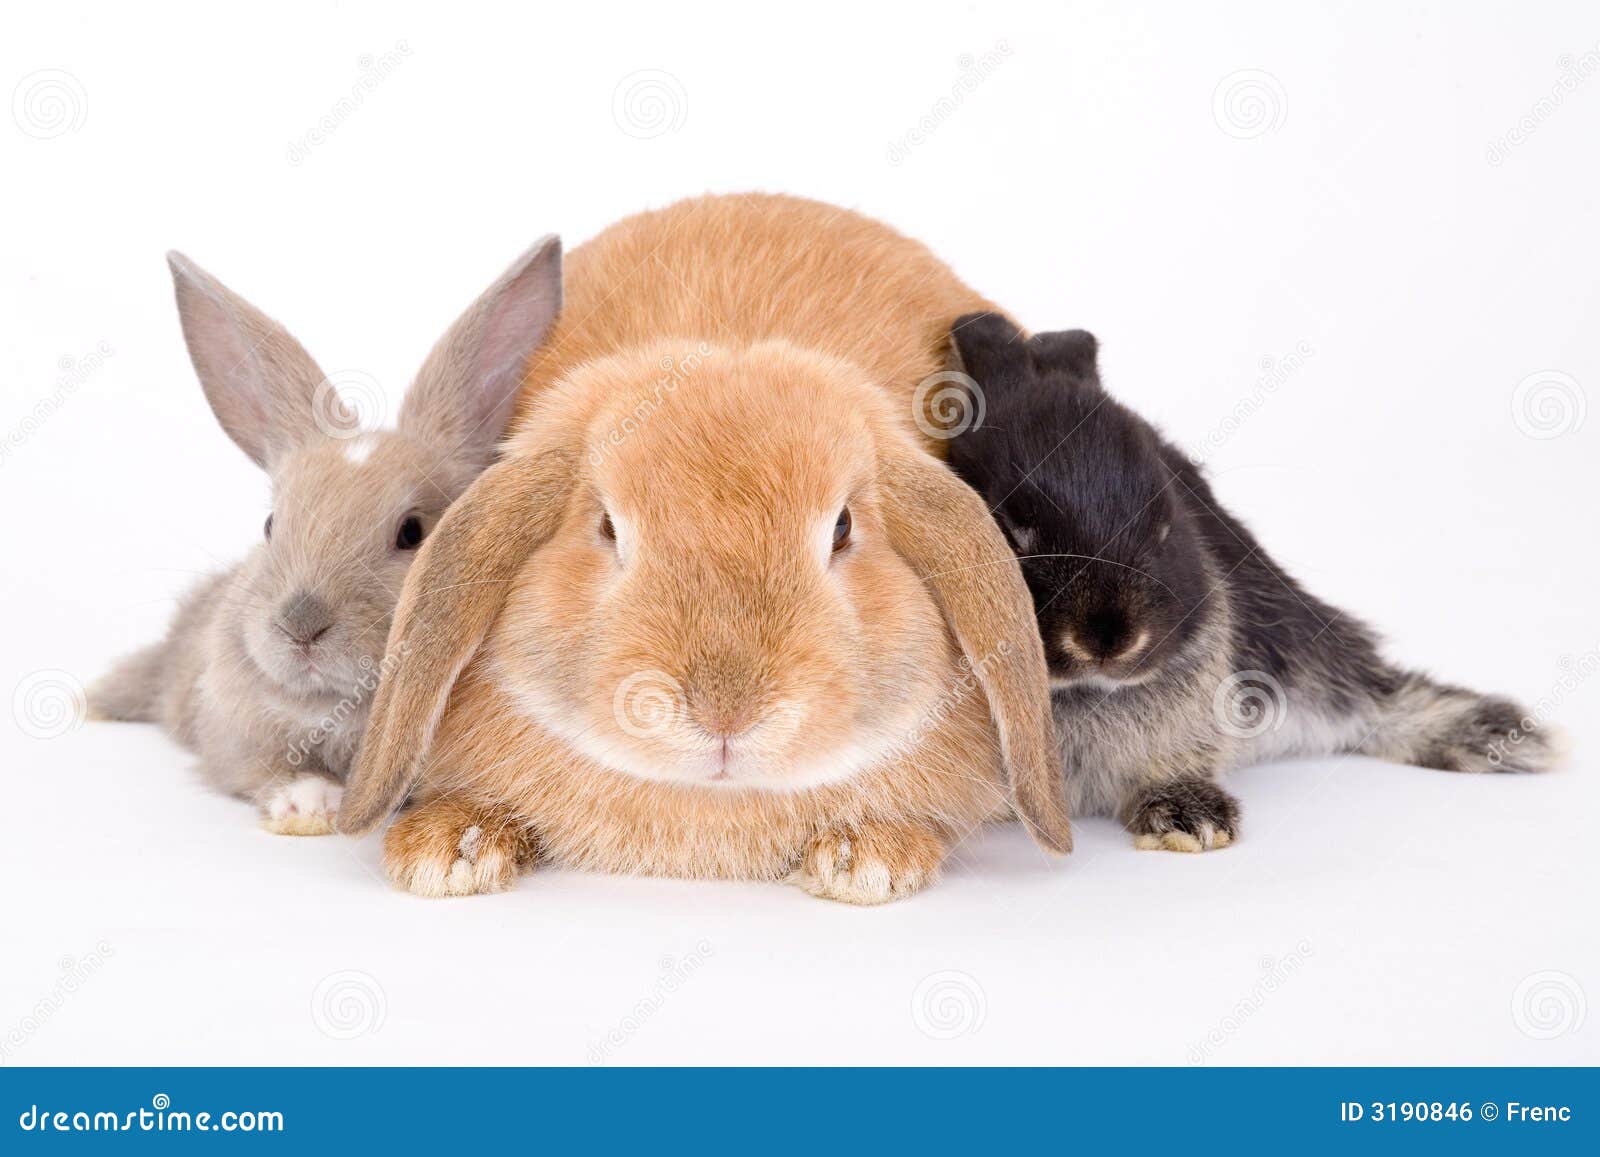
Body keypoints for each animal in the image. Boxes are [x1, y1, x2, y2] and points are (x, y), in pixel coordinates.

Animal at [88, 237, 563, 833]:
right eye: (271, 525)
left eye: (412, 532)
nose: (301, 626)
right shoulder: (233, 738)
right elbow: (264, 770)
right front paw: (311, 805)